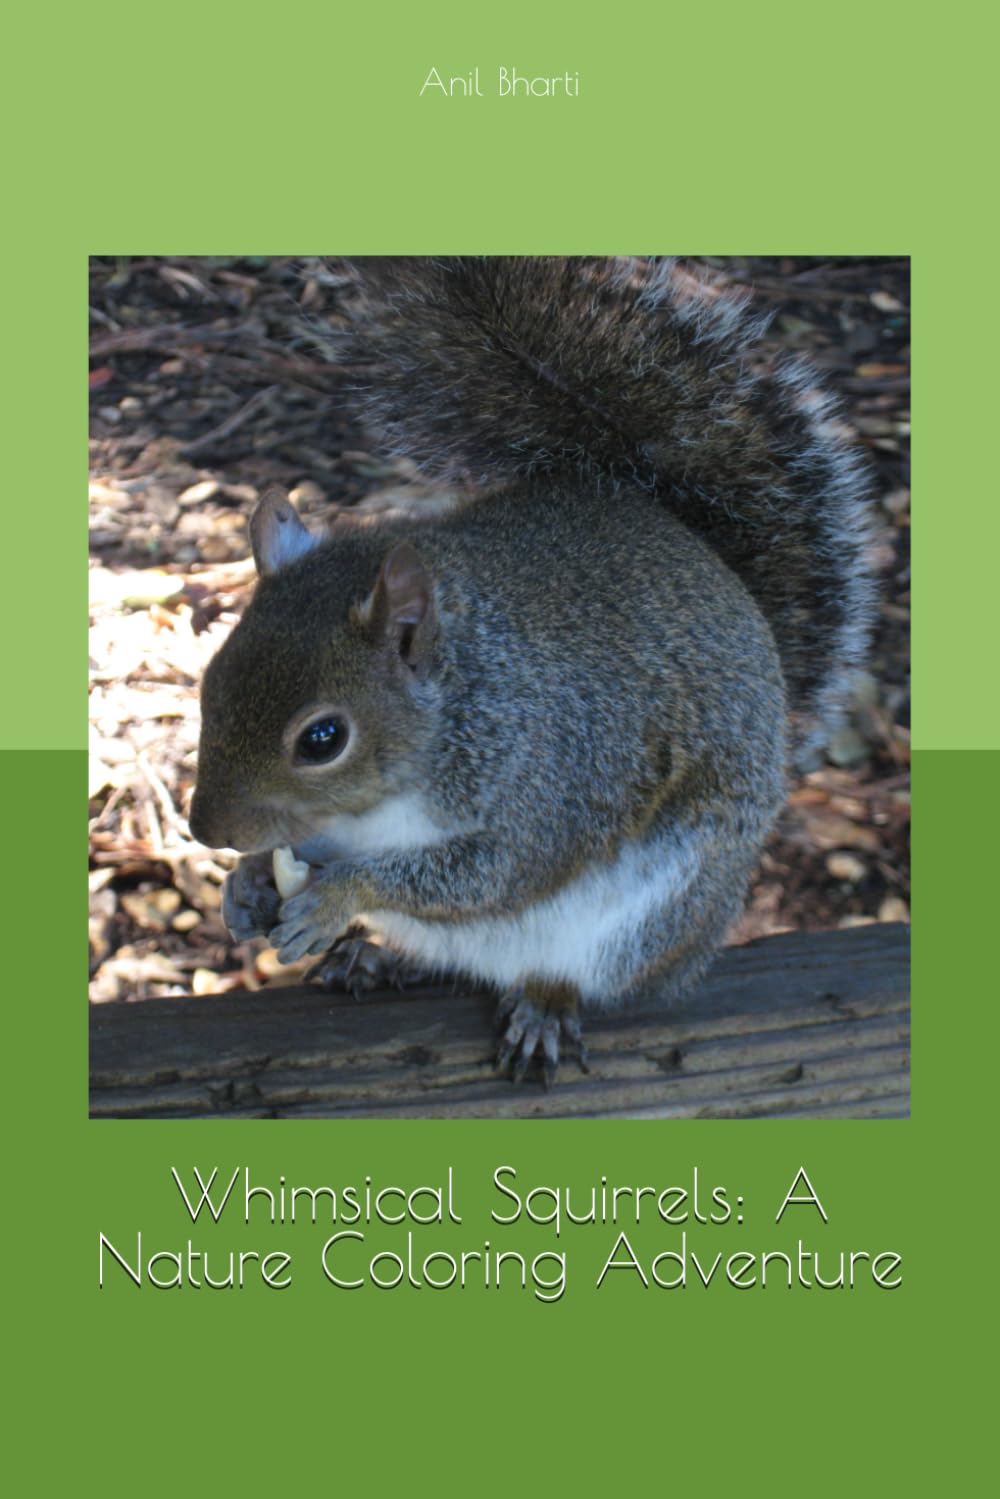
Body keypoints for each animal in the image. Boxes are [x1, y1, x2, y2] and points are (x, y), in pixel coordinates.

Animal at [188, 257, 874, 1084]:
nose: (205, 829)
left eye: (322, 738)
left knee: (562, 970)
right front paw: (248, 884)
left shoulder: (551, 781)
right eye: (210, 682)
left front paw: (334, 895)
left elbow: (489, 872)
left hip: (650, 915)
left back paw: (541, 1006)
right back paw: (380, 960)